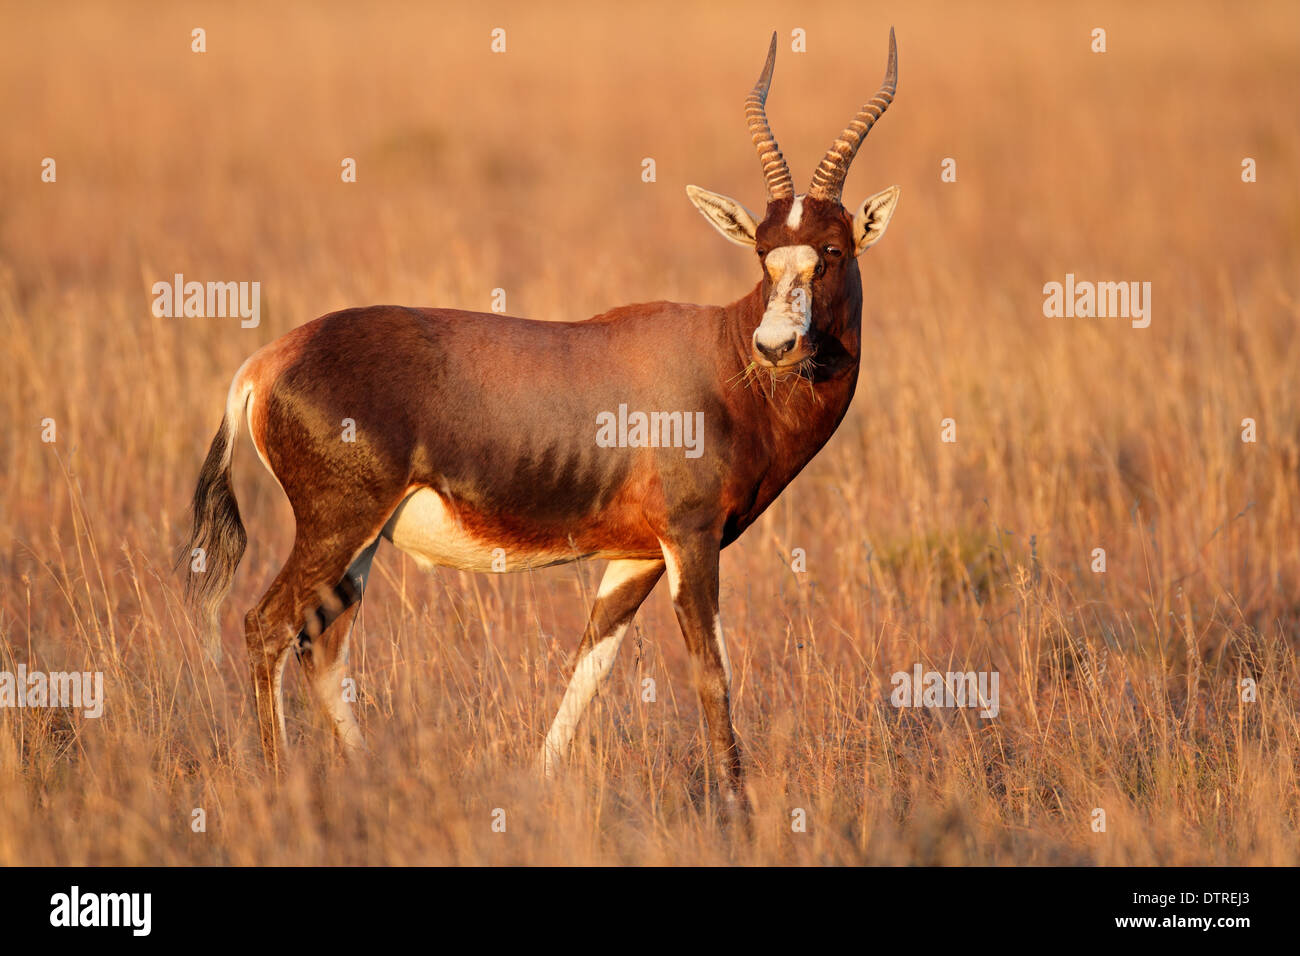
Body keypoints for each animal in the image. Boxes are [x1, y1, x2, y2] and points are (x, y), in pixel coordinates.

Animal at [181, 29, 900, 817]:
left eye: (831, 251)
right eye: (762, 254)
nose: (777, 347)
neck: (719, 352)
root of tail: (263, 364)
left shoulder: (636, 556)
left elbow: (588, 667)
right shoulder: (691, 539)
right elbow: (712, 673)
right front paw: (737, 810)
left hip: (360, 544)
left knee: (323, 646)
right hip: (336, 527)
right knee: (267, 627)